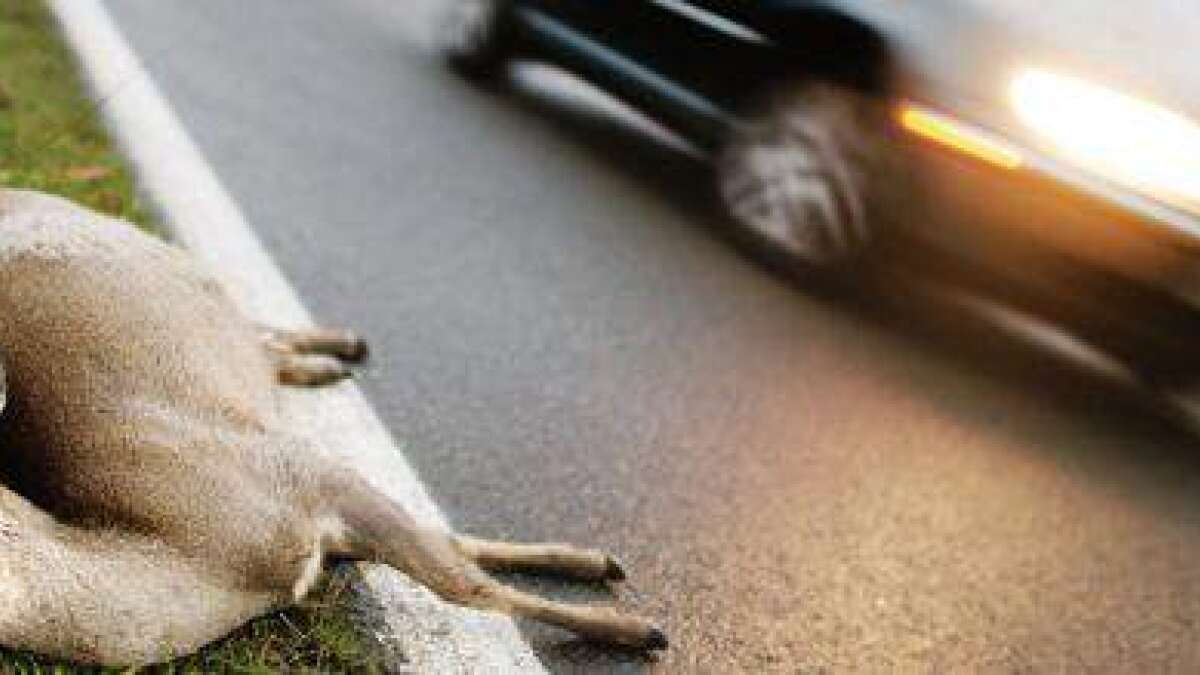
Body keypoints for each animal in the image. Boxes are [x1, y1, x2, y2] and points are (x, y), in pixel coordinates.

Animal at [0, 188, 666, 666]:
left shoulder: (305, 474)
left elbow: (459, 581)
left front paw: (638, 628)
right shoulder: (317, 502)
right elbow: (452, 550)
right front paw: (601, 570)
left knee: (260, 330)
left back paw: (342, 348)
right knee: (264, 346)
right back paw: (328, 361)